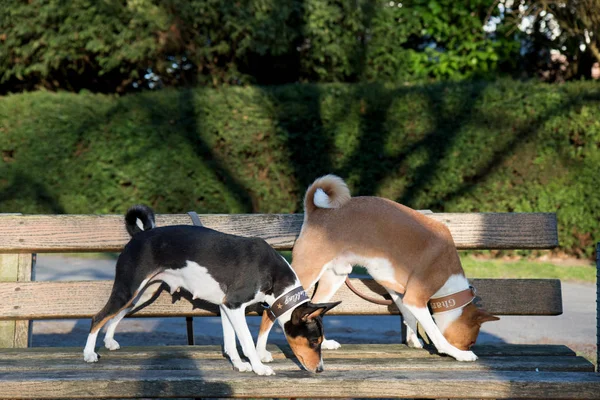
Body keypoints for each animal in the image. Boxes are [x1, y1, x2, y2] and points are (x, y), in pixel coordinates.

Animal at [82, 205, 340, 376]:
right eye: (314, 340)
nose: (320, 369)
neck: (271, 272)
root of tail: (141, 234)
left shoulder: (225, 307)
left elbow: (230, 342)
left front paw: (239, 365)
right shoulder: (234, 305)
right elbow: (246, 341)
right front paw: (258, 367)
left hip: (141, 294)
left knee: (115, 316)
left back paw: (109, 342)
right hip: (127, 290)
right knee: (98, 317)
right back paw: (89, 354)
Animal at [255, 175, 500, 362]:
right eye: (471, 341)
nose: (468, 347)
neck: (448, 276)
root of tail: (317, 211)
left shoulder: (398, 291)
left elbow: (408, 316)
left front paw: (413, 339)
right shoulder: (416, 297)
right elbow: (434, 332)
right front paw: (457, 354)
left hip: (335, 277)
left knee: (312, 308)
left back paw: (323, 343)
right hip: (306, 273)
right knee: (270, 312)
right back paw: (260, 353)